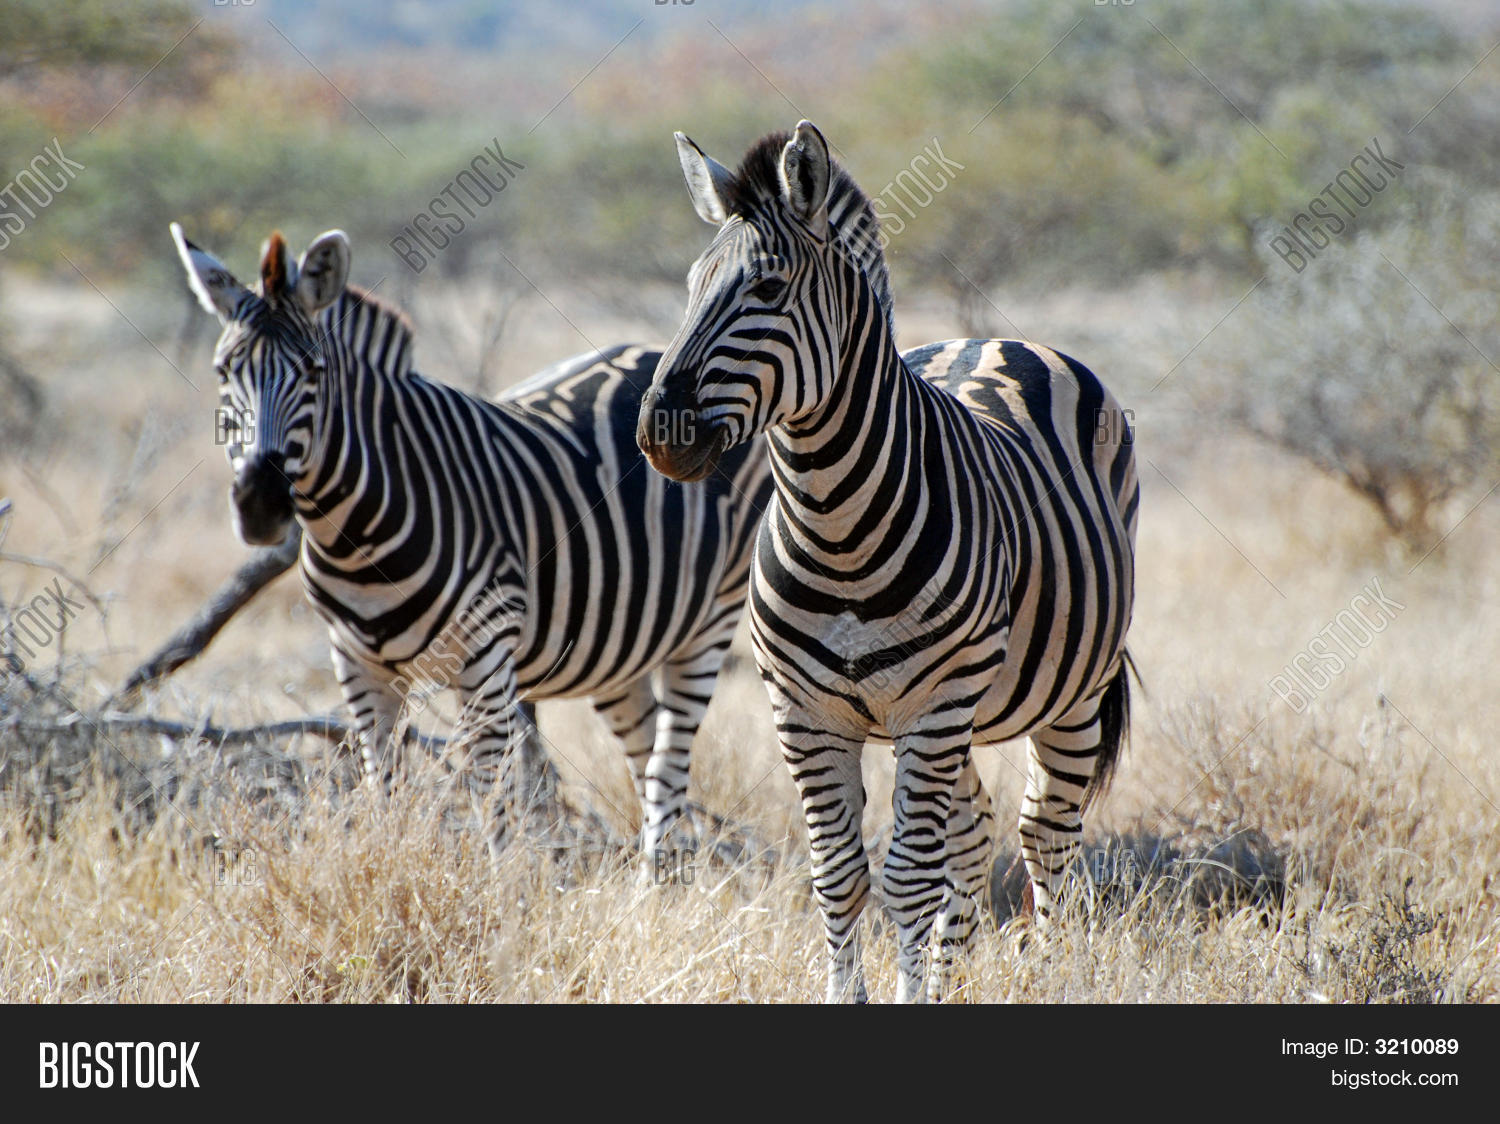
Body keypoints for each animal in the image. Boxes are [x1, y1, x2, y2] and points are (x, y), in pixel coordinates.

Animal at [169, 221, 775, 858]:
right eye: (222, 372)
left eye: (314, 371)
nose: (259, 504)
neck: (353, 534)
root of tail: (660, 350)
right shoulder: (356, 665)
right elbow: (384, 792)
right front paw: (389, 863)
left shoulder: (484, 656)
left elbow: (493, 807)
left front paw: (496, 882)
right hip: (622, 642)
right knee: (645, 751)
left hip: (710, 620)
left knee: (669, 763)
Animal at [637, 122, 1138, 1002]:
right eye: (694, 285)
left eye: (767, 290)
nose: (661, 432)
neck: (837, 532)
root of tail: (996, 337)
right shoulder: (803, 713)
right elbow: (838, 875)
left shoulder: (933, 708)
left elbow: (906, 876)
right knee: (973, 834)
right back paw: (949, 975)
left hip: (1067, 693)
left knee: (1044, 835)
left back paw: (1049, 974)